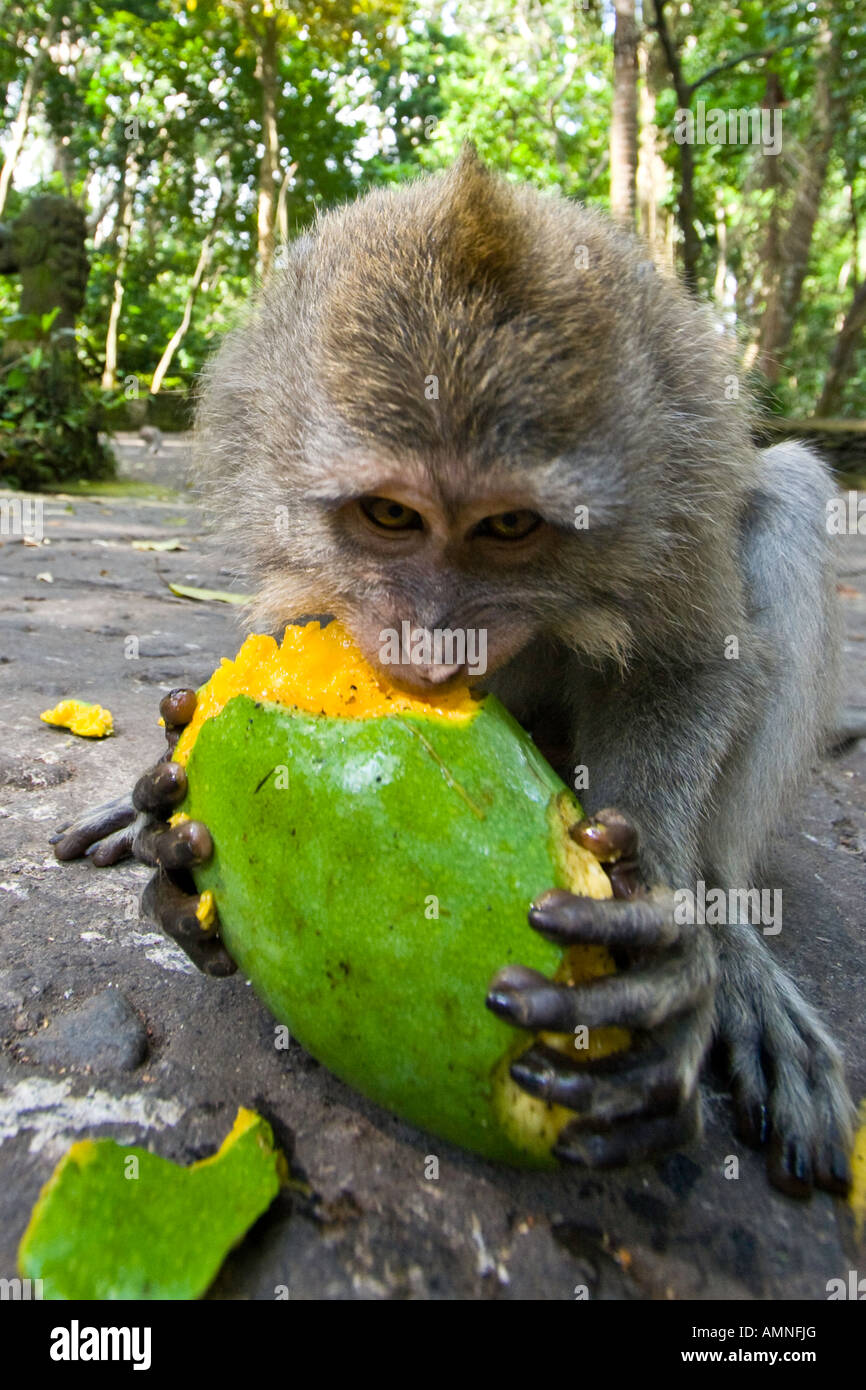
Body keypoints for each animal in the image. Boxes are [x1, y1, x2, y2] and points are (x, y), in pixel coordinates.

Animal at [53, 146, 855, 1198]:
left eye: (509, 526)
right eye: (391, 516)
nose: (433, 651)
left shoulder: (673, 486)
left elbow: (687, 665)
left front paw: (663, 934)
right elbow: (300, 624)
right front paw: (168, 857)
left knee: (793, 490)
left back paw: (729, 934)